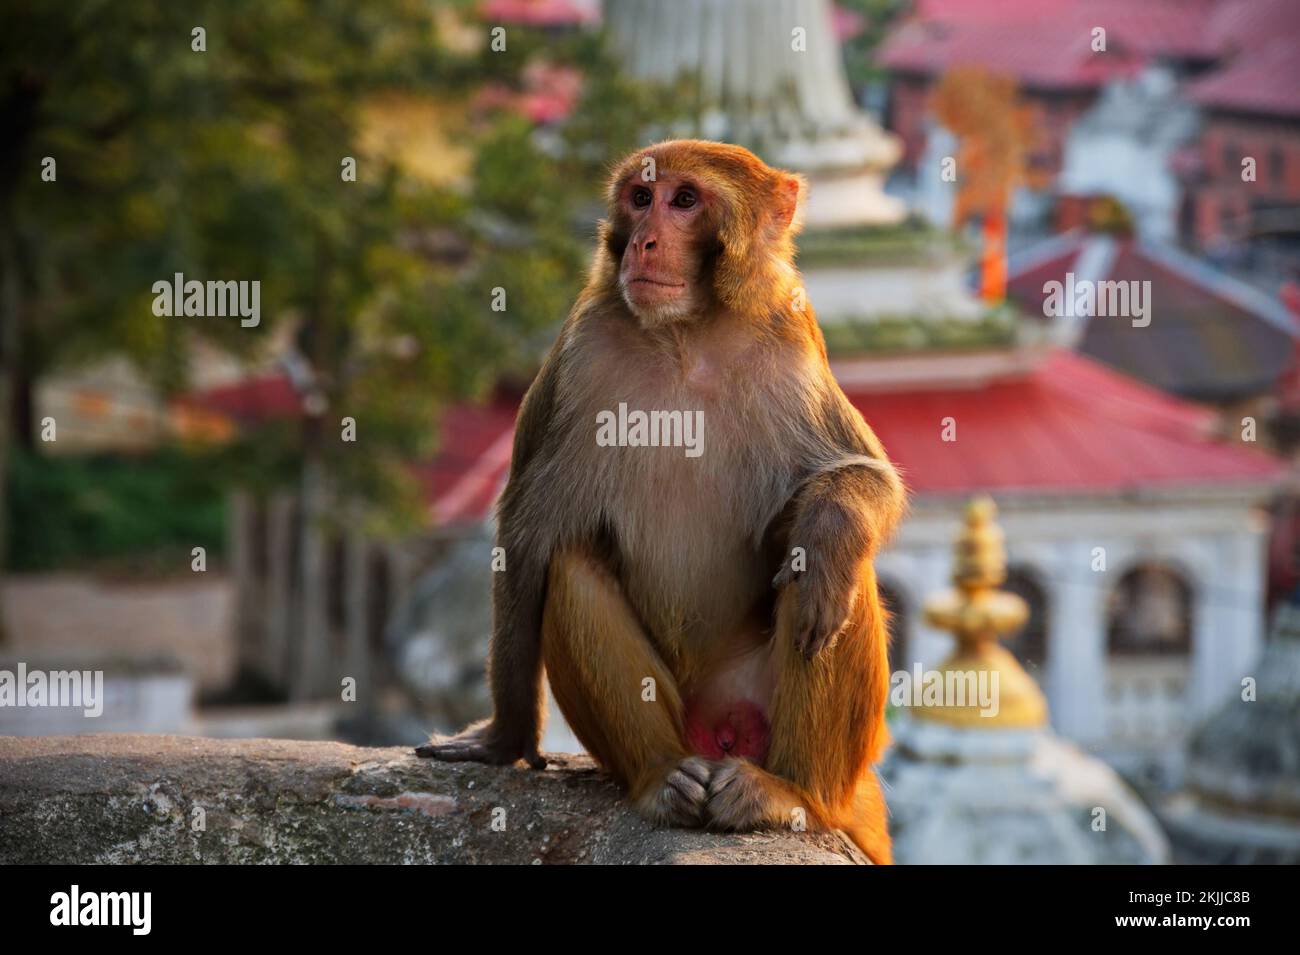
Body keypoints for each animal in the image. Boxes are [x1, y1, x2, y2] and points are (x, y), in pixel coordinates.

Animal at [417, 140, 906, 864]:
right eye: (641, 198)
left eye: (685, 200)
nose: (644, 242)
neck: (688, 334)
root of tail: (716, 731)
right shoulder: (580, 357)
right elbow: (527, 541)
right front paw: (504, 738)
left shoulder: (793, 344)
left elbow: (864, 475)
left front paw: (829, 526)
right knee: (571, 566)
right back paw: (662, 778)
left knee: (832, 574)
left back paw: (791, 792)